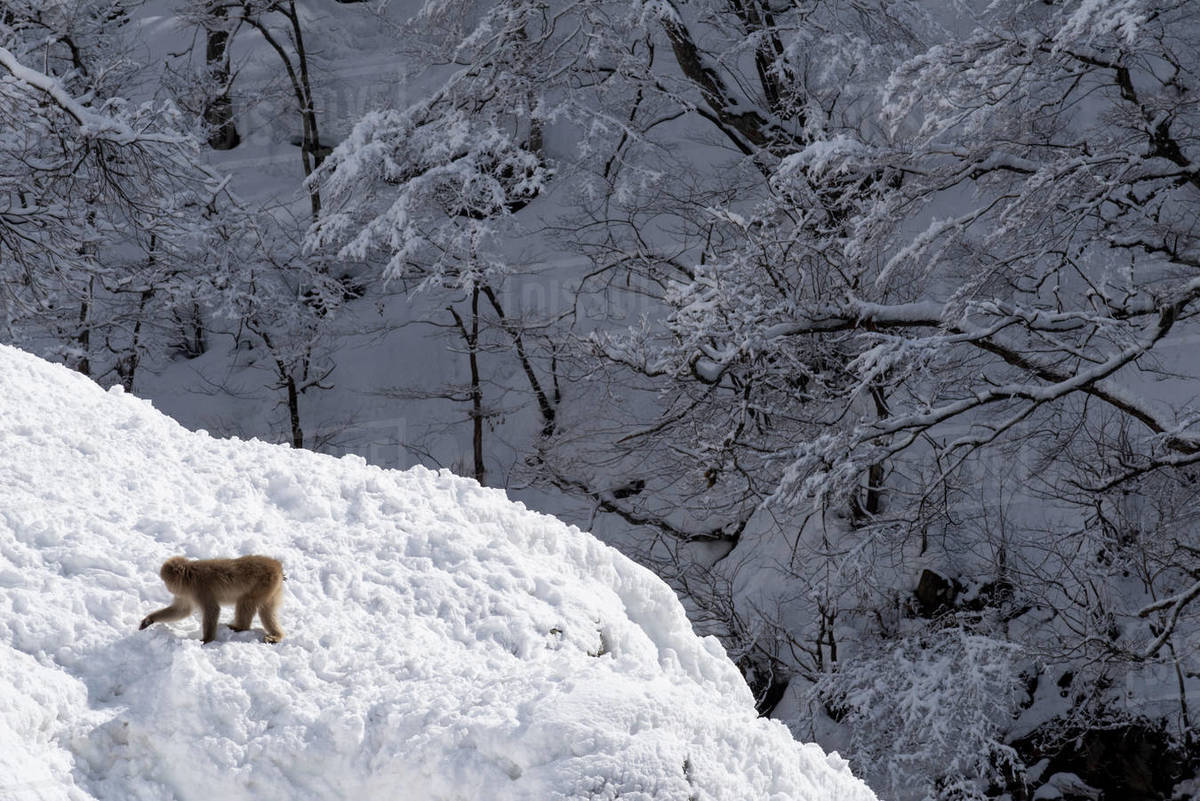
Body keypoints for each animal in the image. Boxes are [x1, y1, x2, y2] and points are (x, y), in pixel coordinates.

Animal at [139, 555, 285, 644]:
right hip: (272, 589)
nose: (168, 588)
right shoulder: (186, 594)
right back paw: (276, 635)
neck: (189, 577)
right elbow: (181, 611)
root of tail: (276, 565)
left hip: (263, 584)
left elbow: (212, 609)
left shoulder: (200, 590)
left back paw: (240, 627)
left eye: (166, 581)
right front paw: (149, 619)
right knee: (266, 610)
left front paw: (206, 640)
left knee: (246, 601)